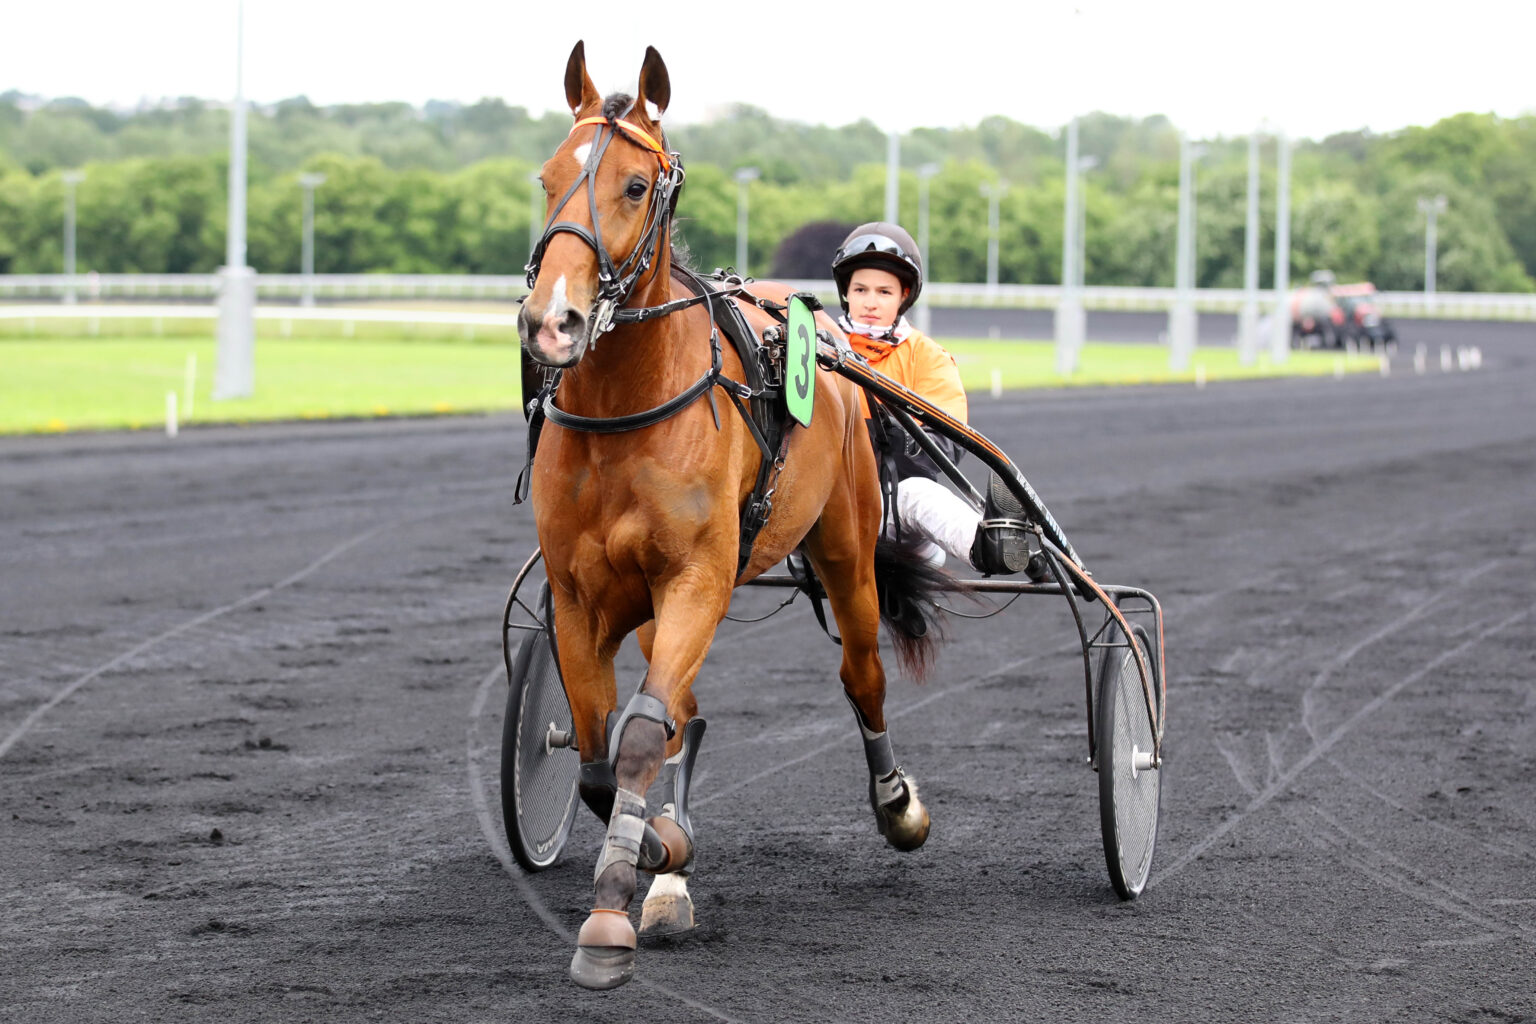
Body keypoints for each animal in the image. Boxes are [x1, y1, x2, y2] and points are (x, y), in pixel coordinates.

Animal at [516, 40, 946, 990]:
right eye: (548, 175)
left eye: (636, 184)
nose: (551, 323)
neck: (626, 412)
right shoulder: (580, 597)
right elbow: (600, 762)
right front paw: (658, 853)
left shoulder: (698, 578)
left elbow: (642, 737)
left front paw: (614, 914)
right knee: (684, 709)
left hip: (846, 549)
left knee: (862, 674)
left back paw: (898, 804)